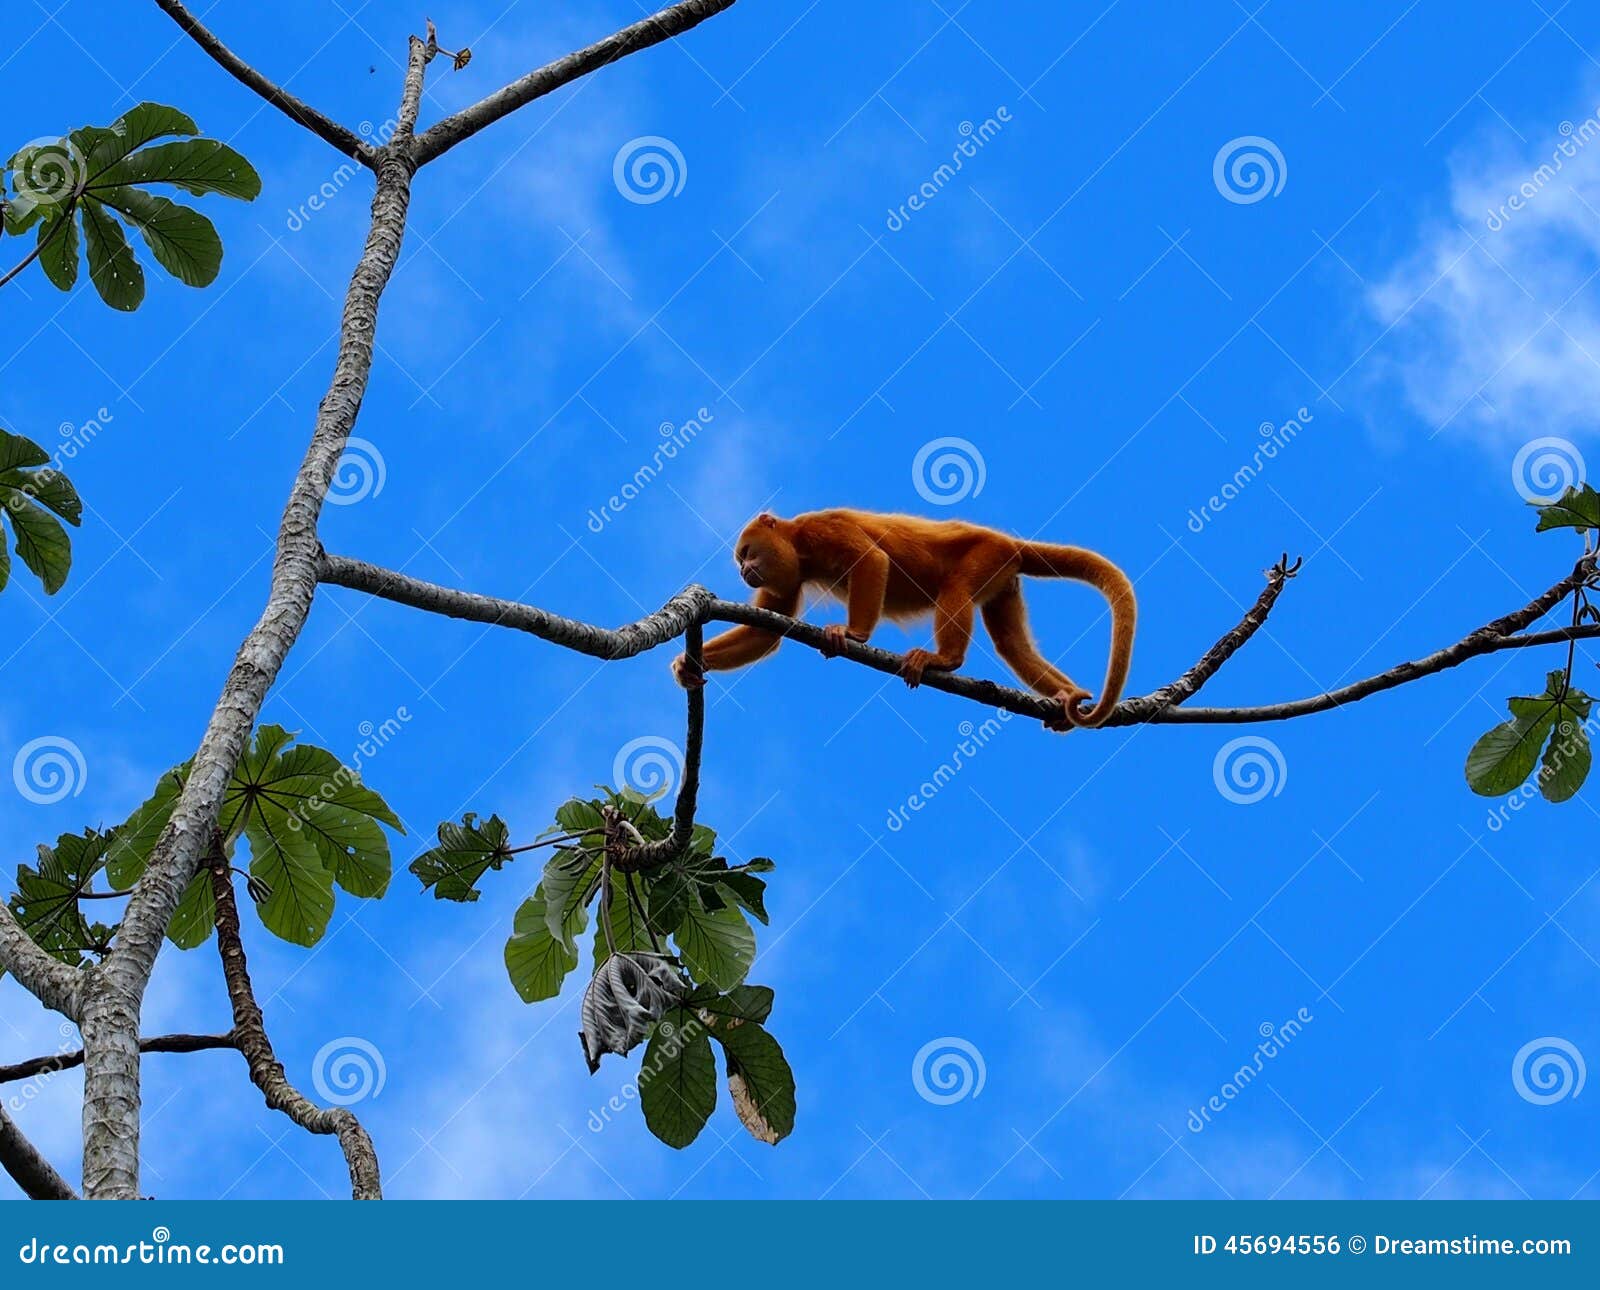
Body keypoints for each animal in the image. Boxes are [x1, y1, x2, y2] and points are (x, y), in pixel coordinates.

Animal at [671, 509, 1136, 730]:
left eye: (747, 553)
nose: (742, 570)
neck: (799, 542)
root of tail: (1010, 543)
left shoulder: (824, 528)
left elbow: (872, 560)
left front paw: (853, 633)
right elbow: (764, 632)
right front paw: (687, 664)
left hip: (985, 555)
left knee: (956, 588)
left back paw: (945, 660)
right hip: (1003, 577)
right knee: (1011, 643)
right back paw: (1064, 697)